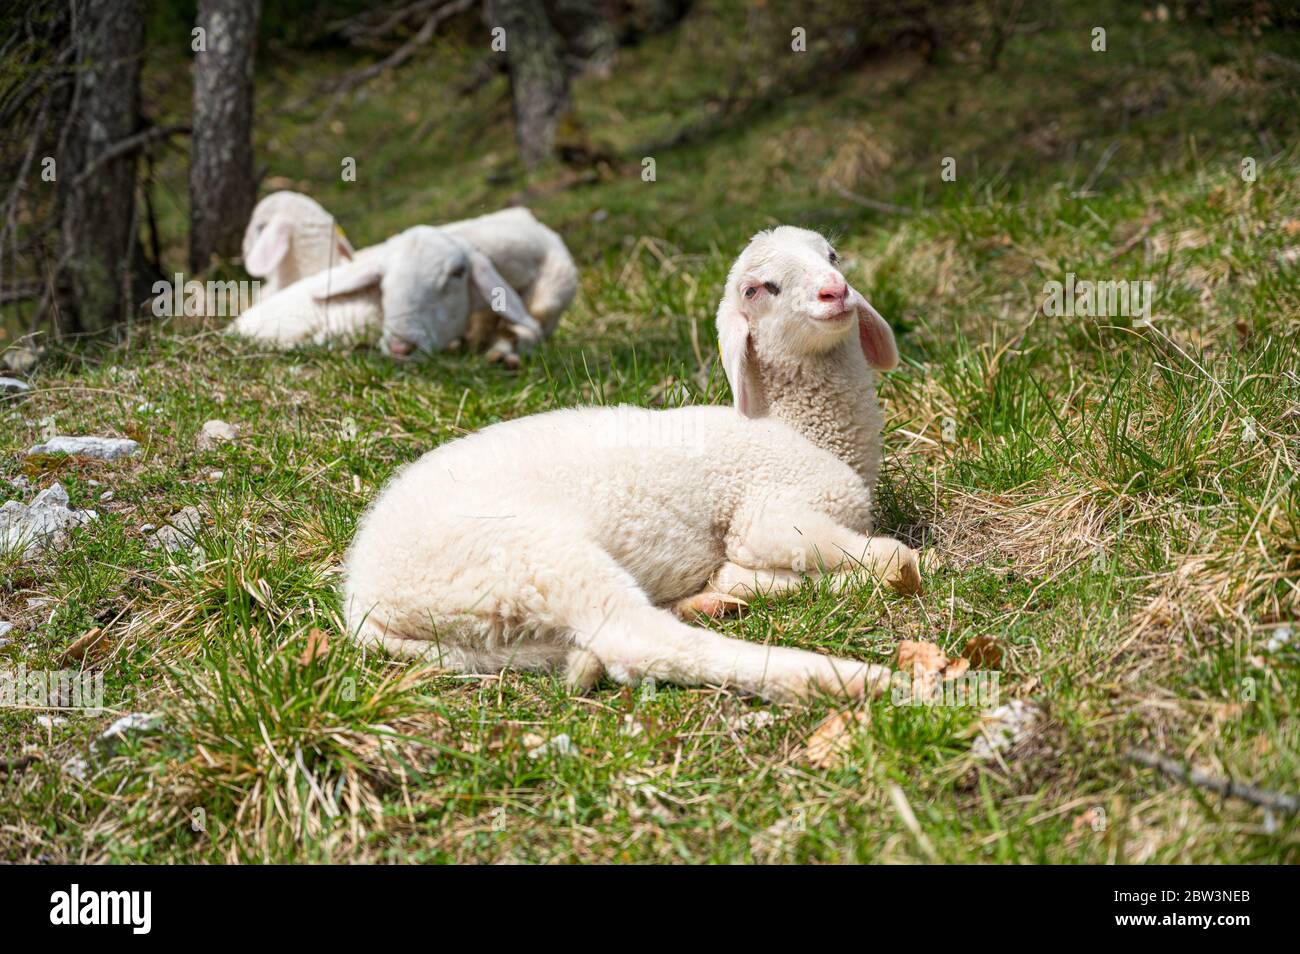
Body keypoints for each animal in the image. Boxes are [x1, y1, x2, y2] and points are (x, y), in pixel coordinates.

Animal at [341, 226, 921, 703]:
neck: (804, 430)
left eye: (832, 255)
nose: (835, 292)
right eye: (759, 289)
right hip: (529, 556)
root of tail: (364, 599)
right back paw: (858, 681)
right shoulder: (771, 512)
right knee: (639, 641)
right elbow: (897, 560)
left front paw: (734, 587)